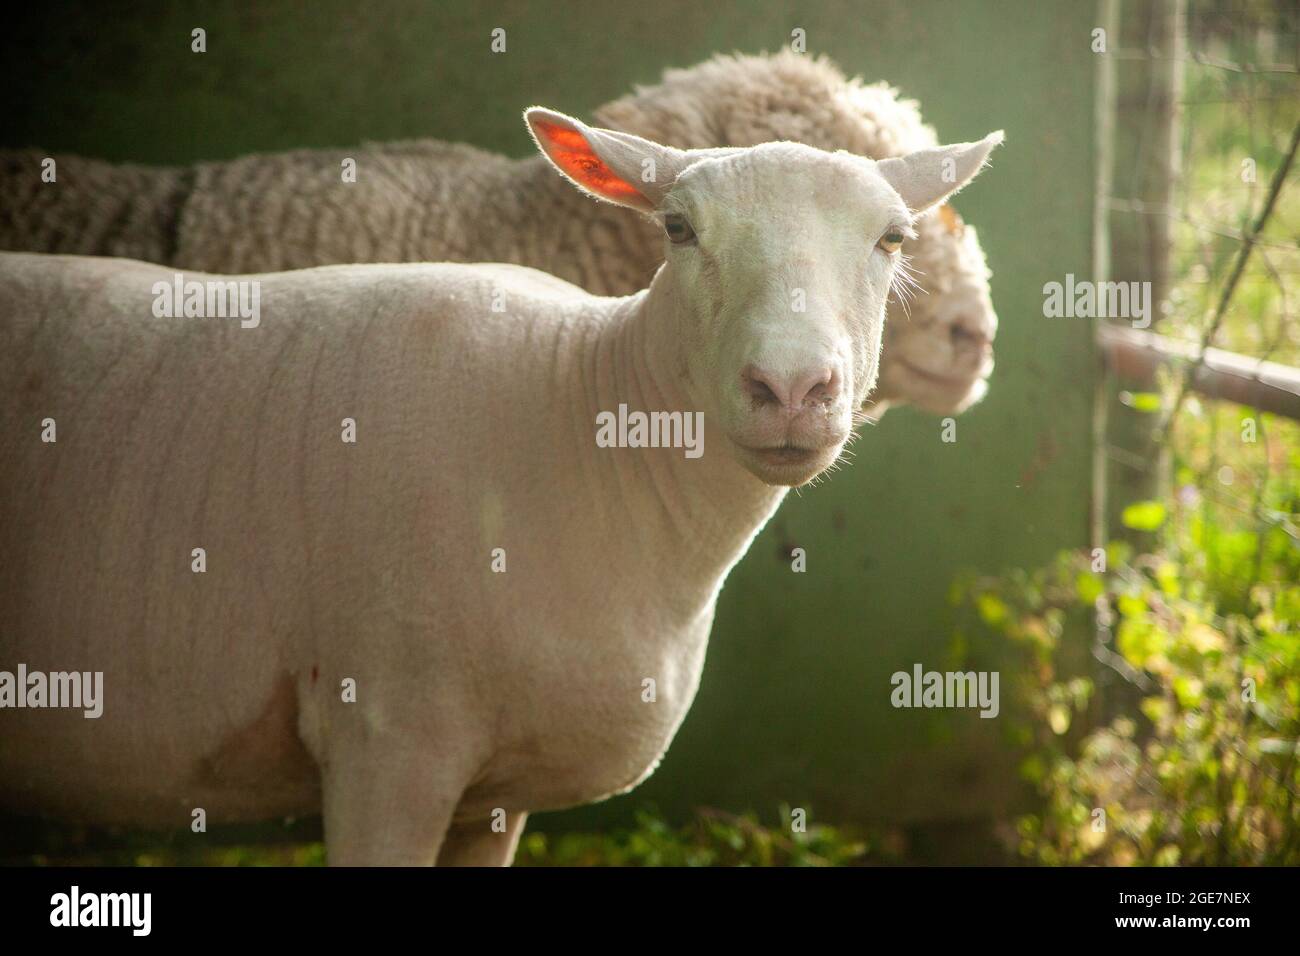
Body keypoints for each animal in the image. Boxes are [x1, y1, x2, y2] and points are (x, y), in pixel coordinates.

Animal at [0, 107, 1002, 865]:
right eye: (677, 229)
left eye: (892, 238)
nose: (791, 389)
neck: (584, 425)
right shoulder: (388, 742)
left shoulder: (496, 791)